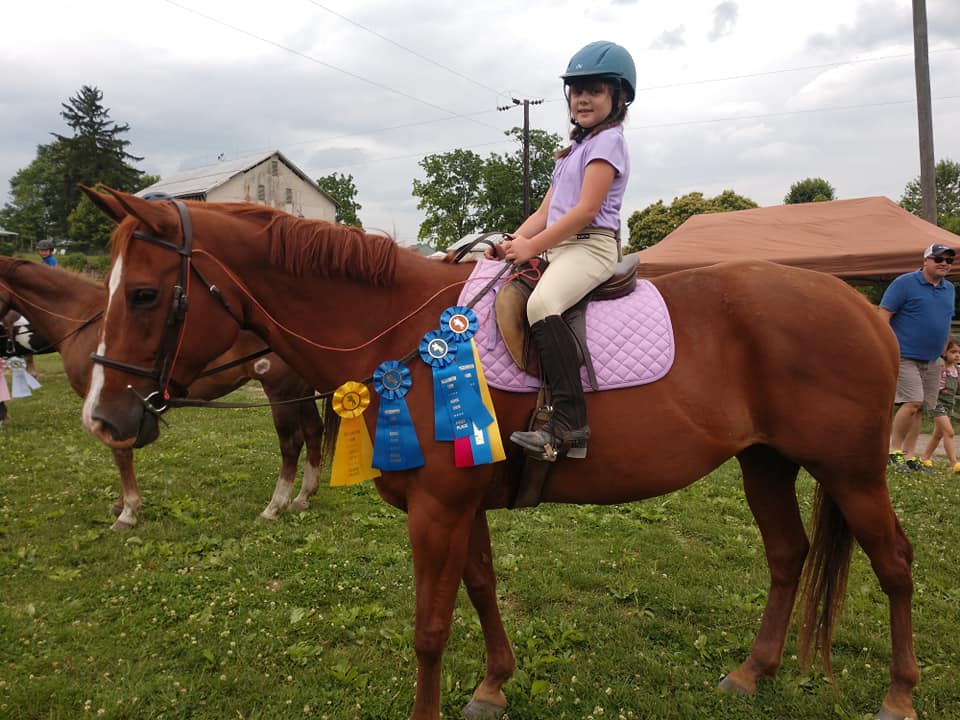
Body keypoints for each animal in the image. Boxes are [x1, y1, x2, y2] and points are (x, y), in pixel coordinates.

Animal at [0, 256, 326, 529]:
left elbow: (121, 454)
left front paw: (128, 511)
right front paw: (121, 502)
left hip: (281, 392)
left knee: (291, 443)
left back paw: (275, 505)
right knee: (313, 432)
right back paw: (302, 497)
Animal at [78, 187, 918, 720]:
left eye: (144, 294)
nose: (104, 419)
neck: (402, 336)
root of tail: (864, 311)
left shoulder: (436, 510)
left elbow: (429, 626)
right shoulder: (461, 505)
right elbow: (480, 591)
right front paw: (493, 687)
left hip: (851, 472)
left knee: (894, 563)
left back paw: (899, 696)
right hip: (766, 461)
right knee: (788, 555)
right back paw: (753, 671)